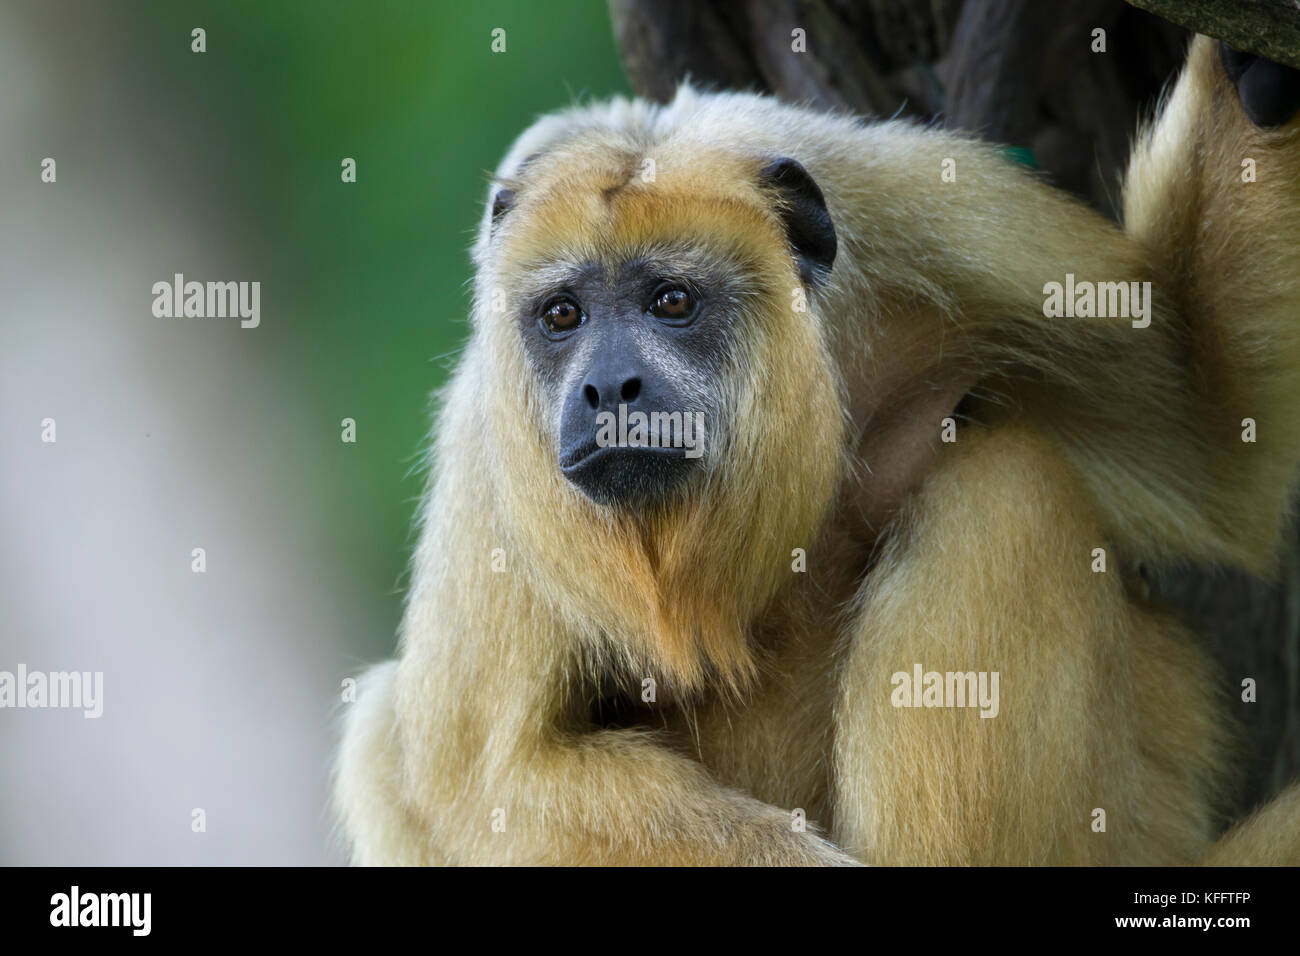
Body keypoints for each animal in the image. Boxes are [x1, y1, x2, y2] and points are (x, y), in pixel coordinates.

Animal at [334, 35, 1300, 865]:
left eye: (672, 301)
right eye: (562, 315)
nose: (607, 389)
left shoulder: (939, 223)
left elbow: (1207, 436)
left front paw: (1257, 71)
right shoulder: (490, 437)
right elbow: (486, 780)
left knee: (1005, 484)